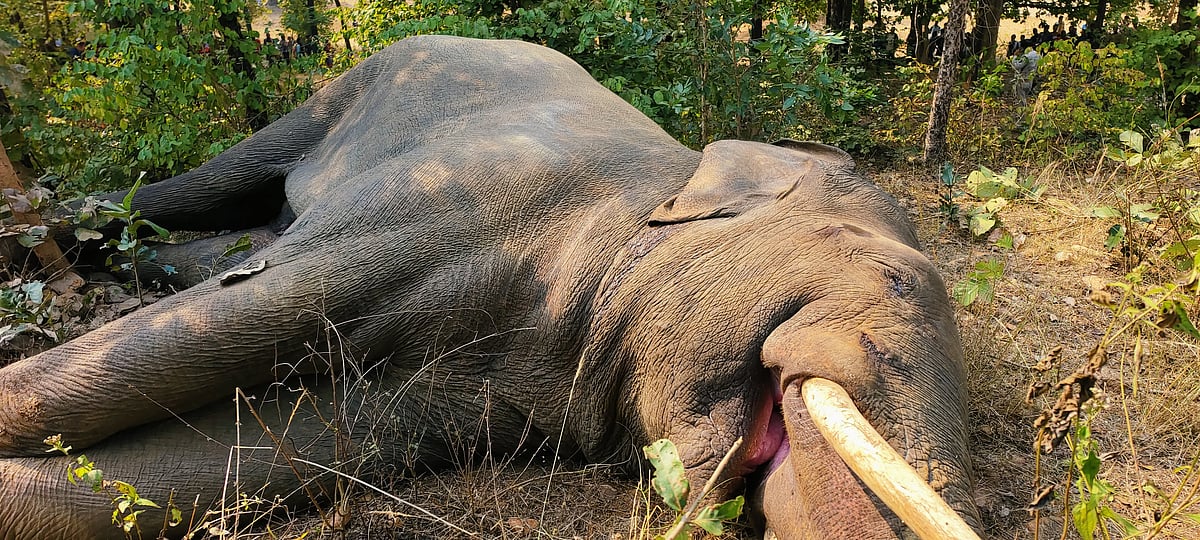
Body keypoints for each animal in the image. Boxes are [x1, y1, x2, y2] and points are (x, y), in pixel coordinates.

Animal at [0, 35, 982, 539]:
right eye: (900, 279)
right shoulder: (445, 207)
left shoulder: (479, 396)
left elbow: (267, 451)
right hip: (341, 91)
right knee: (199, 191)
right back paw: (51, 237)